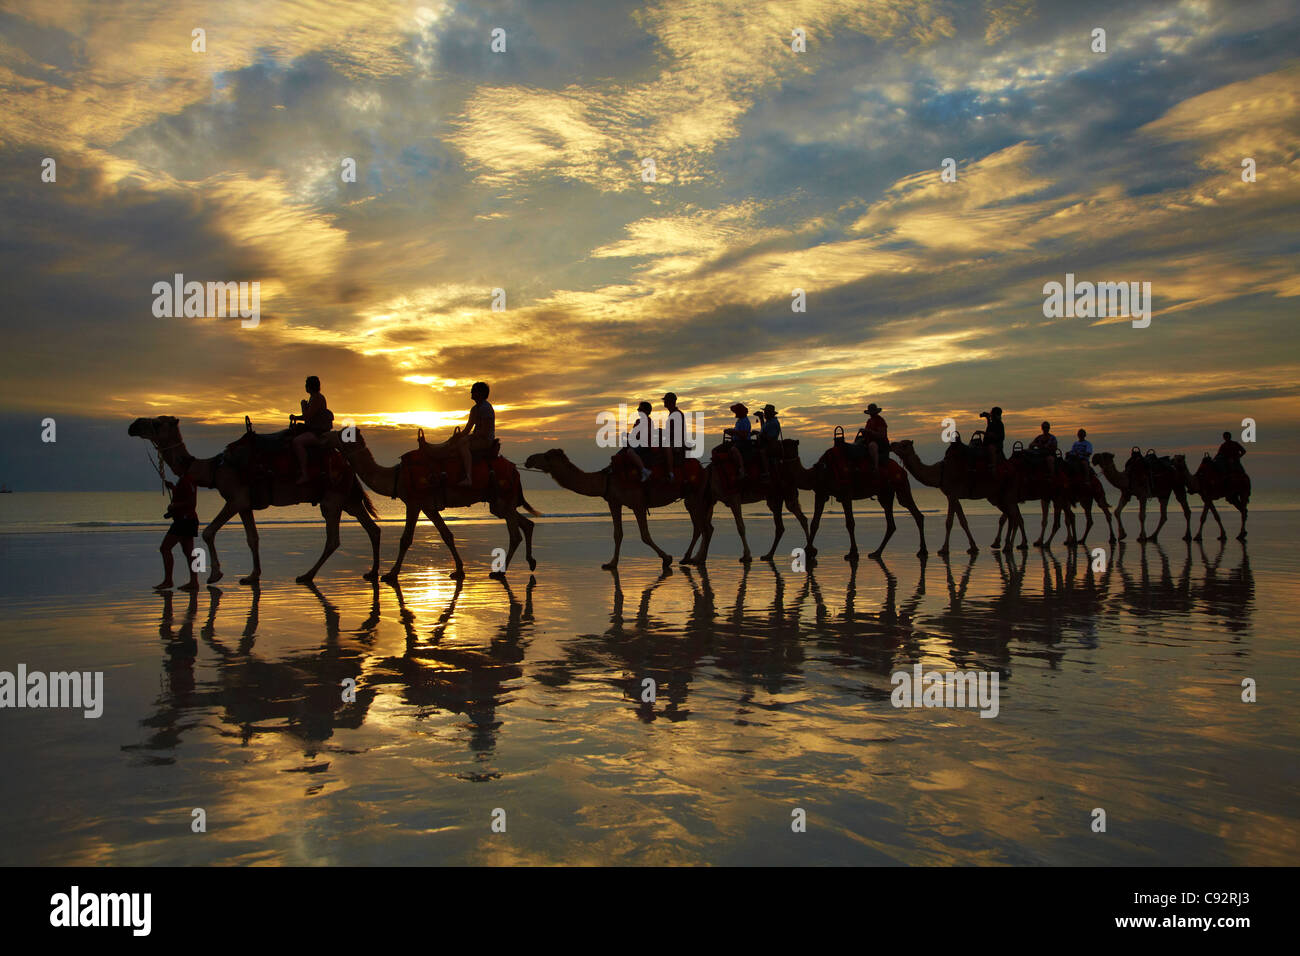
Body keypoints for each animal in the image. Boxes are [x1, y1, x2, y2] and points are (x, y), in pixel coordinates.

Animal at [128, 415, 380, 584]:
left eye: (158, 422)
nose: (133, 425)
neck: (214, 468)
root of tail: (346, 464)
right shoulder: (245, 504)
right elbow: (253, 538)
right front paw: (252, 576)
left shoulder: (235, 498)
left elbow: (208, 531)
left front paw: (215, 575)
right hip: (347, 498)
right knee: (371, 528)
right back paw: (371, 572)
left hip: (332, 498)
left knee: (333, 539)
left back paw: (307, 575)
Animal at [325, 428, 538, 581]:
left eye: (343, 433)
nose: (326, 436)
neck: (397, 476)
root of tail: (515, 470)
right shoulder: (428, 506)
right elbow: (446, 535)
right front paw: (459, 571)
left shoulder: (413, 502)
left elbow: (405, 539)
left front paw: (391, 574)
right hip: (499, 502)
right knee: (526, 523)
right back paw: (531, 561)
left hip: (503, 496)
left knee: (515, 534)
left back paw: (500, 572)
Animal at [525, 448, 706, 571]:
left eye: (546, 456)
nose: (528, 459)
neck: (605, 479)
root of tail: (702, 468)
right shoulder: (614, 502)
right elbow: (617, 533)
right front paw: (611, 563)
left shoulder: (638, 504)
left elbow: (645, 535)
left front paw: (667, 558)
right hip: (692, 497)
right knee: (703, 527)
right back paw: (693, 558)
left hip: (696, 495)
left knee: (702, 526)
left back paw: (693, 559)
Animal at [679, 439, 811, 565]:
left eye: (689, 506)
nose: (686, 505)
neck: (709, 479)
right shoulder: (712, 500)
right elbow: (706, 528)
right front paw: (697, 557)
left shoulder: (733, 498)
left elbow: (740, 527)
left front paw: (746, 556)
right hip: (776, 497)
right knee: (793, 521)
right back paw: (772, 555)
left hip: (785, 493)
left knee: (793, 520)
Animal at [890, 438, 1023, 556]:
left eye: (904, 445)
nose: (891, 444)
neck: (940, 472)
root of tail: (1013, 470)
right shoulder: (953, 496)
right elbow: (963, 521)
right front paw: (973, 547)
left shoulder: (952, 494)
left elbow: (949, 522)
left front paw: (944, 549)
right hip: (998, 496)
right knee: (1012, 515)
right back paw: (1007, 545)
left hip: (1007, 493)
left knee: (1014, 516)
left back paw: (1009, 546)